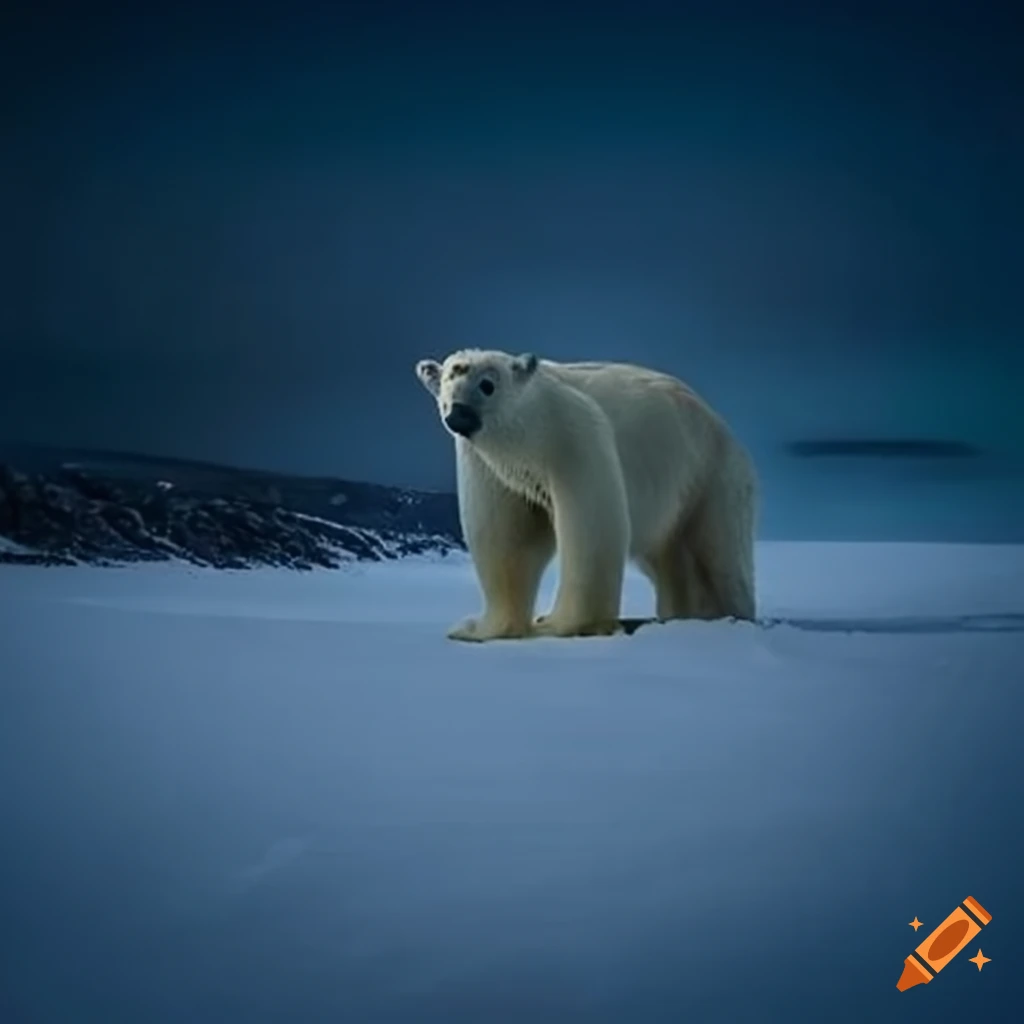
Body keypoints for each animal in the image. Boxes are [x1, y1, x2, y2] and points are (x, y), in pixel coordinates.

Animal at [414, 348, 758, 641]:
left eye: (487, 385)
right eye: (445, 387)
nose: (458, 414)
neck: (532, 433)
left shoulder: (575, 436)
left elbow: (591, 527)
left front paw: (559, 624)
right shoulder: (494, 467)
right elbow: (507, 540)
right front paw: (478, 628)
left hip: (711, 473)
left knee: (720, 549)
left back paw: (730, 613)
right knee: (668, 554)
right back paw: (681, 613)